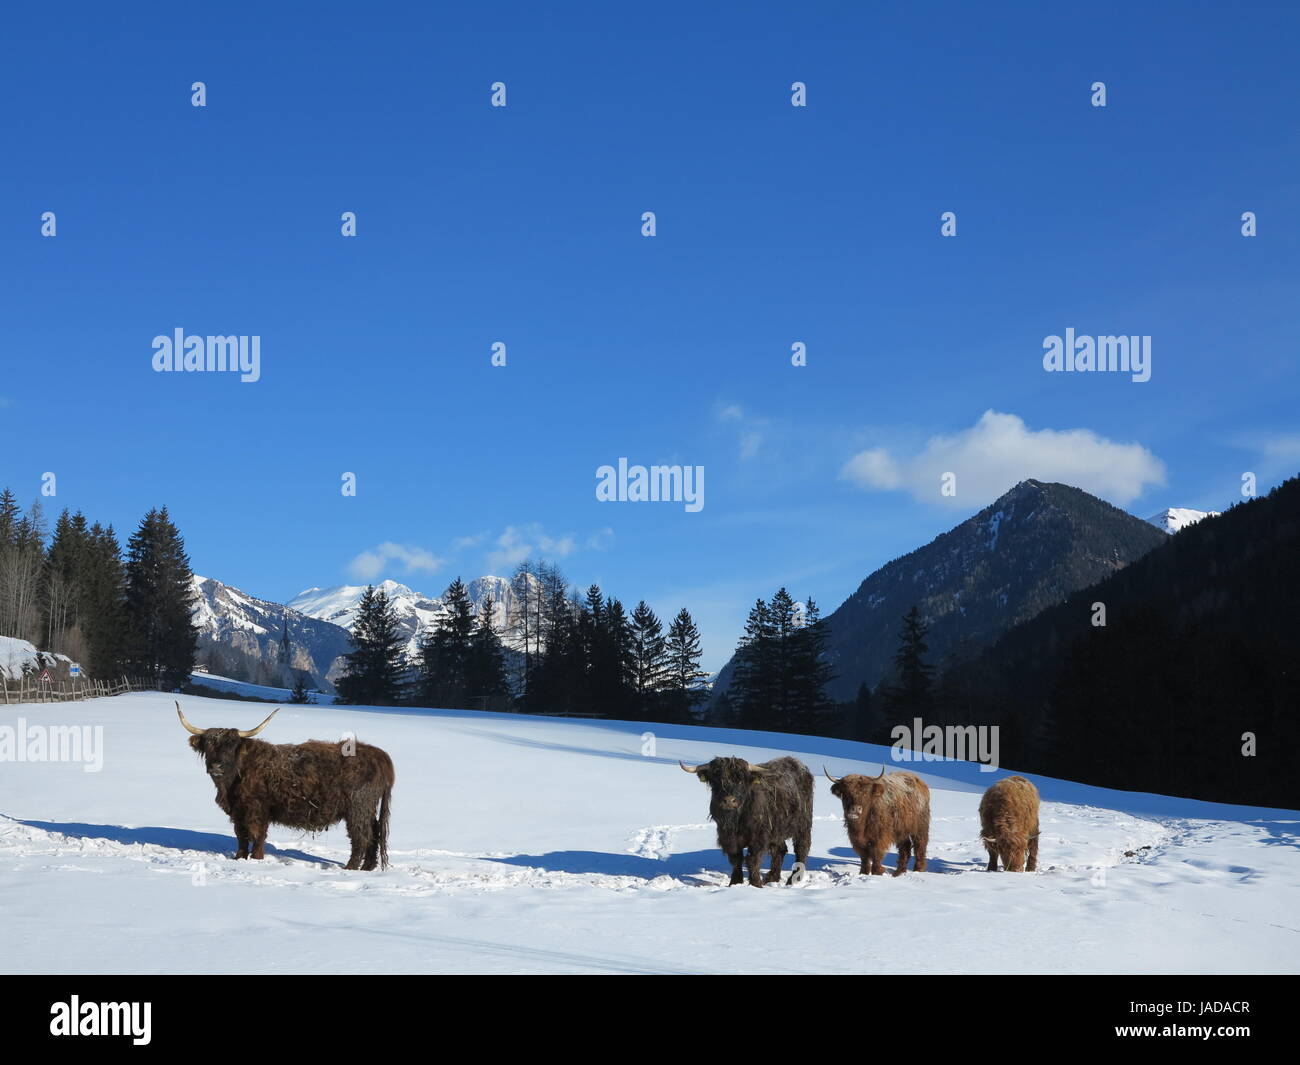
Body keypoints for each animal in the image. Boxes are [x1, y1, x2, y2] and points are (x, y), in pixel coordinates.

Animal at [176, 702, 394, 871]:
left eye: (231, 746)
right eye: (208, 745)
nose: (216, 766)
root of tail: (379, 755)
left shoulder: (258, 809)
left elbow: (257, 834)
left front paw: (256, 859)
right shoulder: (238, 811)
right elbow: (241, 835)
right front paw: (239, 858)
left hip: (358, 808)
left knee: (362, 835)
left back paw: (350, 868)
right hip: (367, 809)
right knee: (374, 832)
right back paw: (368, 867)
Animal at [680, 755, 813, 888]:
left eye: (741, 780)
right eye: (716, 779)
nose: (729, 801)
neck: (736, 821)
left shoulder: (758, 839)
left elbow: (752, 860)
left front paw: (756, 884)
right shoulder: (728, 838)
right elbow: (736, 859)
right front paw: (735, 882)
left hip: (803, 826)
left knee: (801, 849)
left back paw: (793, 880)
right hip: (777, 831)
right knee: (780, 850)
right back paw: (771, 878)